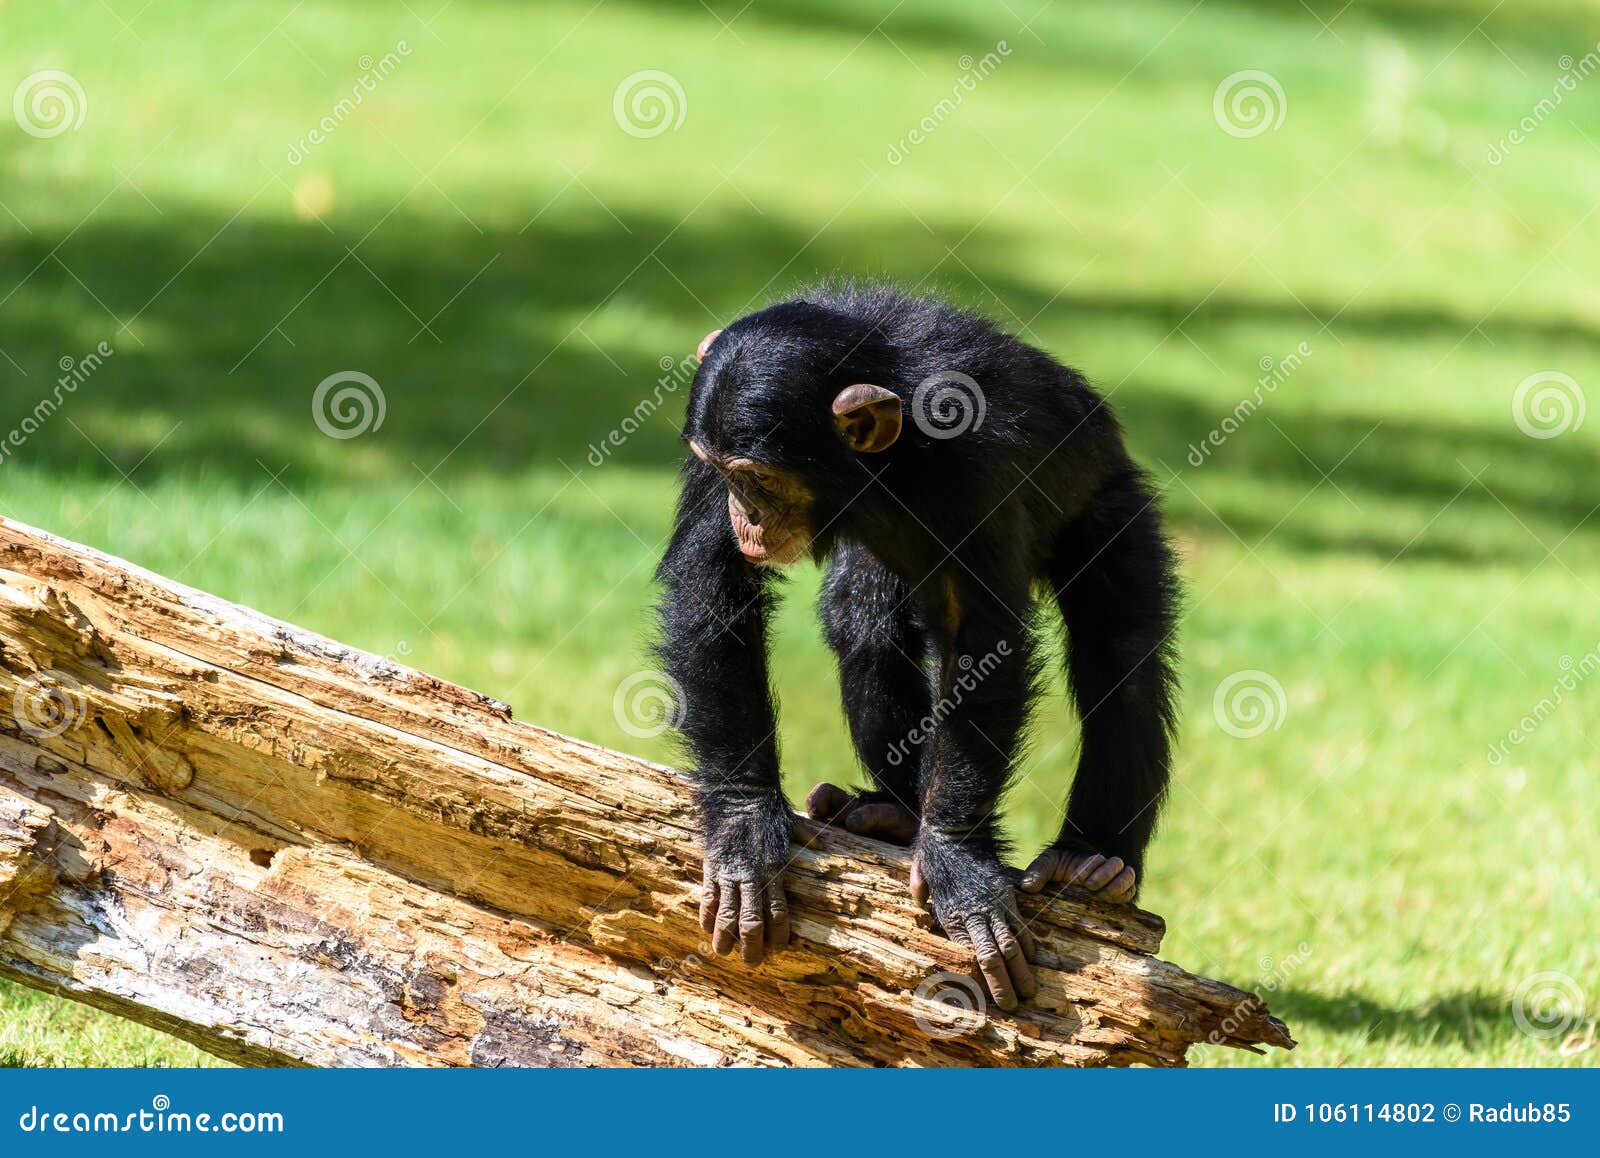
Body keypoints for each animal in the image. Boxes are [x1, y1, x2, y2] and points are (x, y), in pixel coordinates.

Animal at [654, 282, 1179, 1010]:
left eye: (759, 480)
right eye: (727, 476)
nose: (744, 516)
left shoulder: (974, 467)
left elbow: (978, 641)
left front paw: (957, 858)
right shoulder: (709, 427)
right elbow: (713, 580)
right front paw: (741, 824)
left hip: (1110, 503)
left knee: (1121, 660)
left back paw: (1094, 859)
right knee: (862, 620)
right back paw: (895, 815)